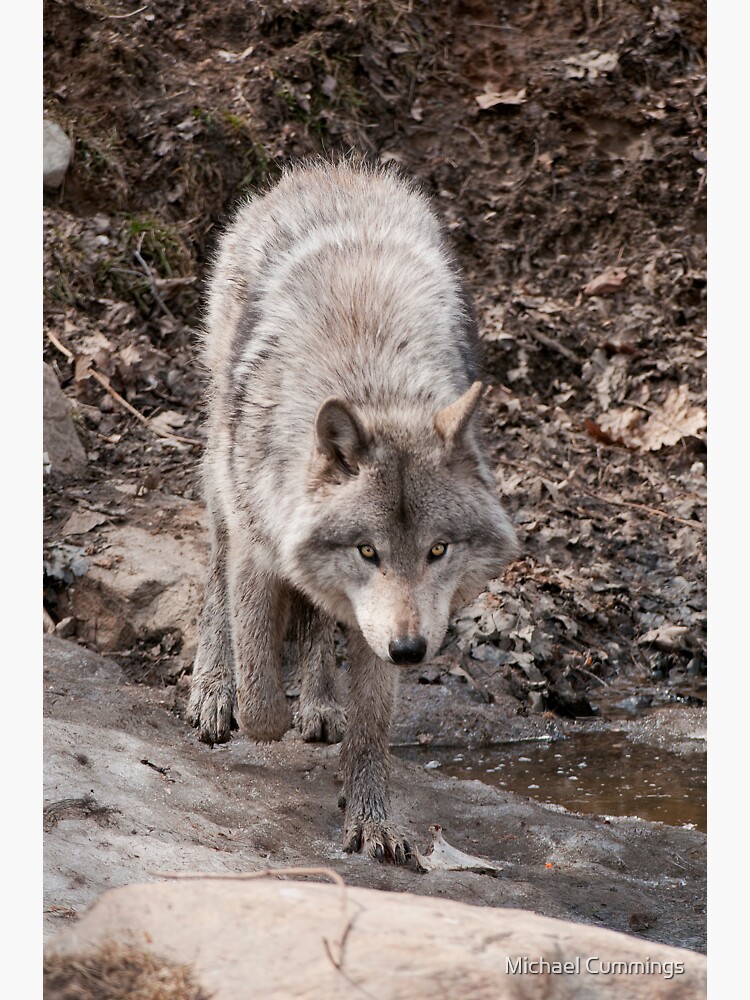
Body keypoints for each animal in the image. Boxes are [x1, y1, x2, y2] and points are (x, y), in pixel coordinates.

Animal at [187, 161, 519, 863]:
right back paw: (212, 690)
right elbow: (261, 699)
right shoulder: (261, 550)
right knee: (218, 578)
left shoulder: (387, 625)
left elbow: (370, 727)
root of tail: (332, 168)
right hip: (223, 477)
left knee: (321, 621)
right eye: (368, 550)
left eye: (438, 550)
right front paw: (250, 710)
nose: (411, 651)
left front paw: (371, 821)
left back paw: (319, 705)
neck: (371, 384)